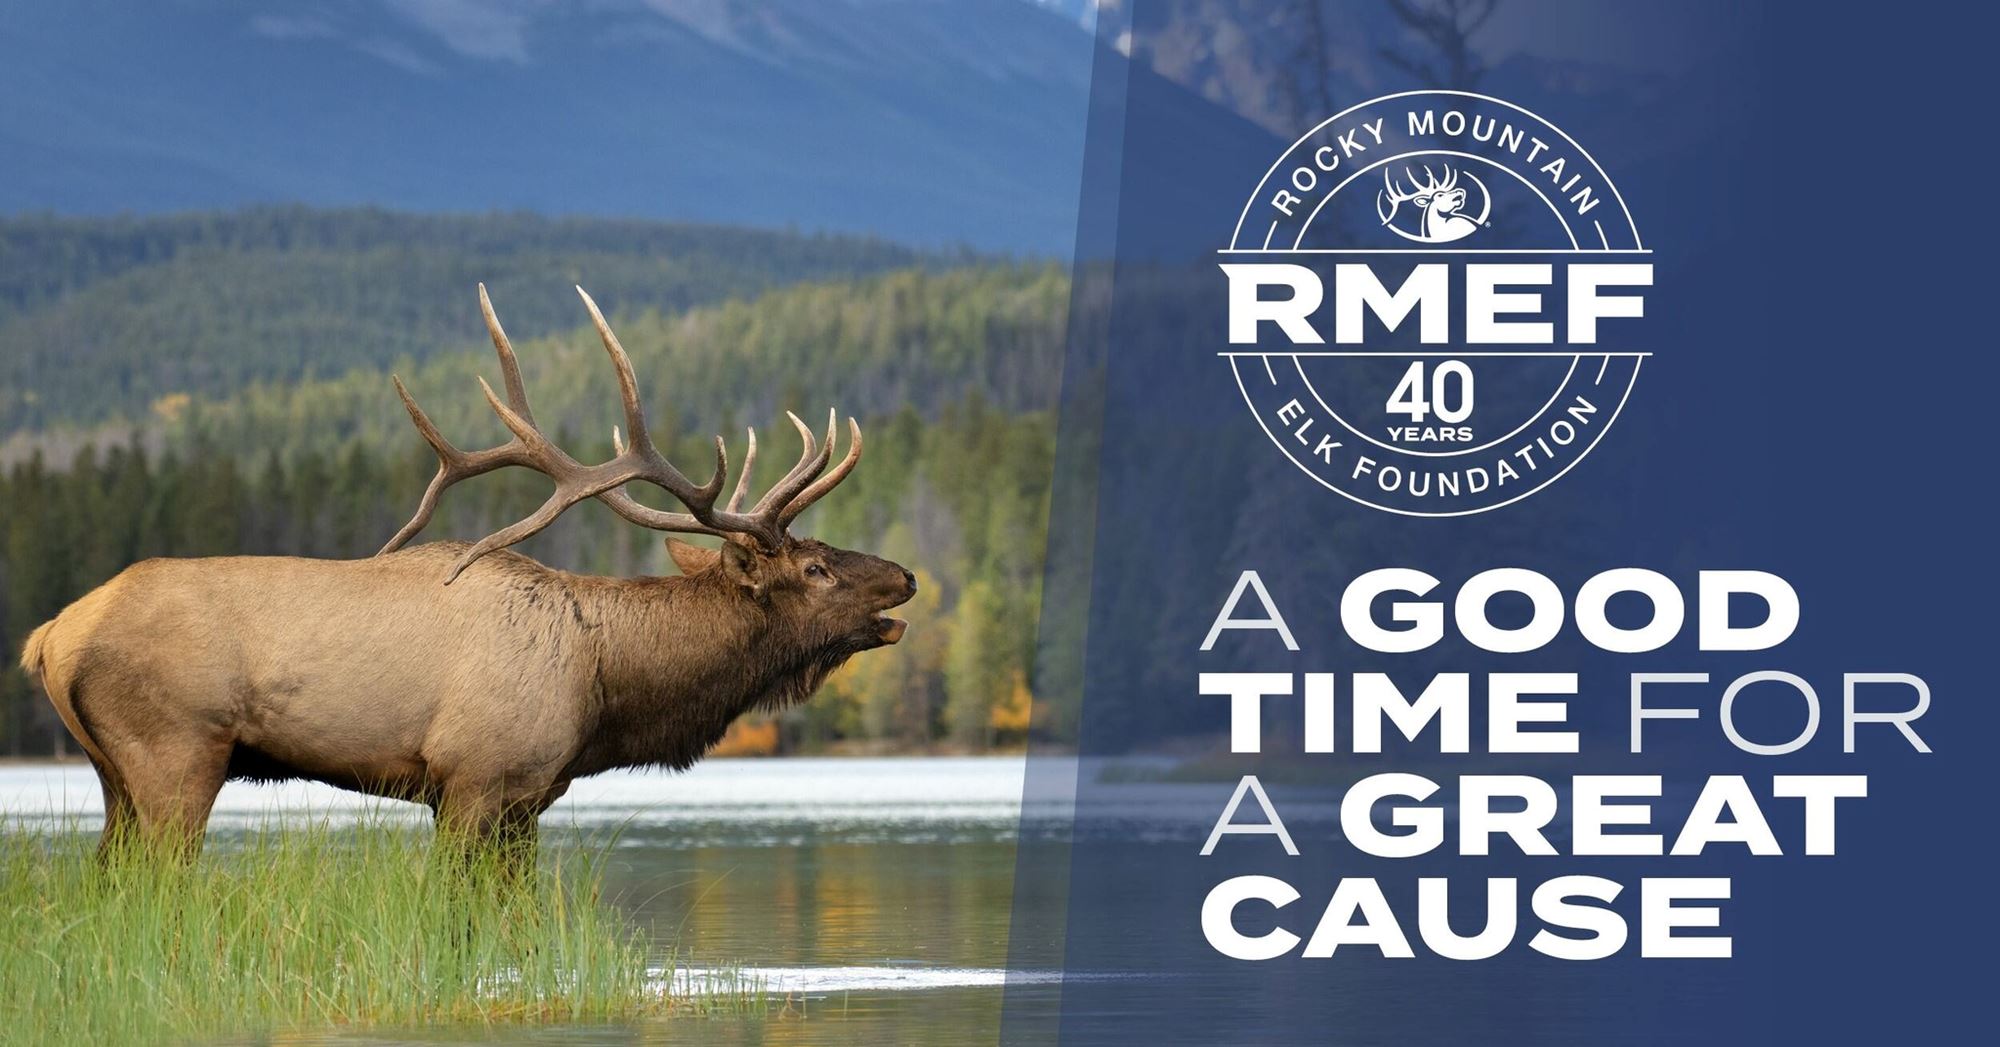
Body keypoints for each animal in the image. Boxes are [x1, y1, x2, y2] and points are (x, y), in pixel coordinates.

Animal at [18, 286, 916, 862]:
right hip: (175, 750)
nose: (905, 579)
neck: (606, 688)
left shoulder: (528, 799)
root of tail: (50, 636)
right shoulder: (473, 779)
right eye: (817, 565)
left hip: (114, 775)